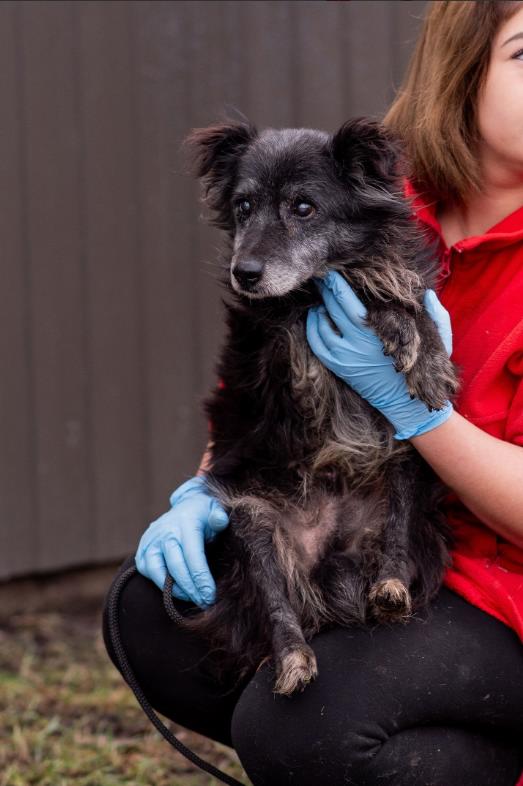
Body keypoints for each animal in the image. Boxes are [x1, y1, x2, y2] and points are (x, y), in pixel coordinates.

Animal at [178, 115, 460, 692]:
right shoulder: (281, 331)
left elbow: (405, 294)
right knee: (274, 597)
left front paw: (426, 356)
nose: (246, 273)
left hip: (404, 461)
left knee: (398, 532)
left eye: (303, 207)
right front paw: (392, 321)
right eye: (243, 206)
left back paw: (390, 586)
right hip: (251, 517)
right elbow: (353, 293)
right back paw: (293, 657)